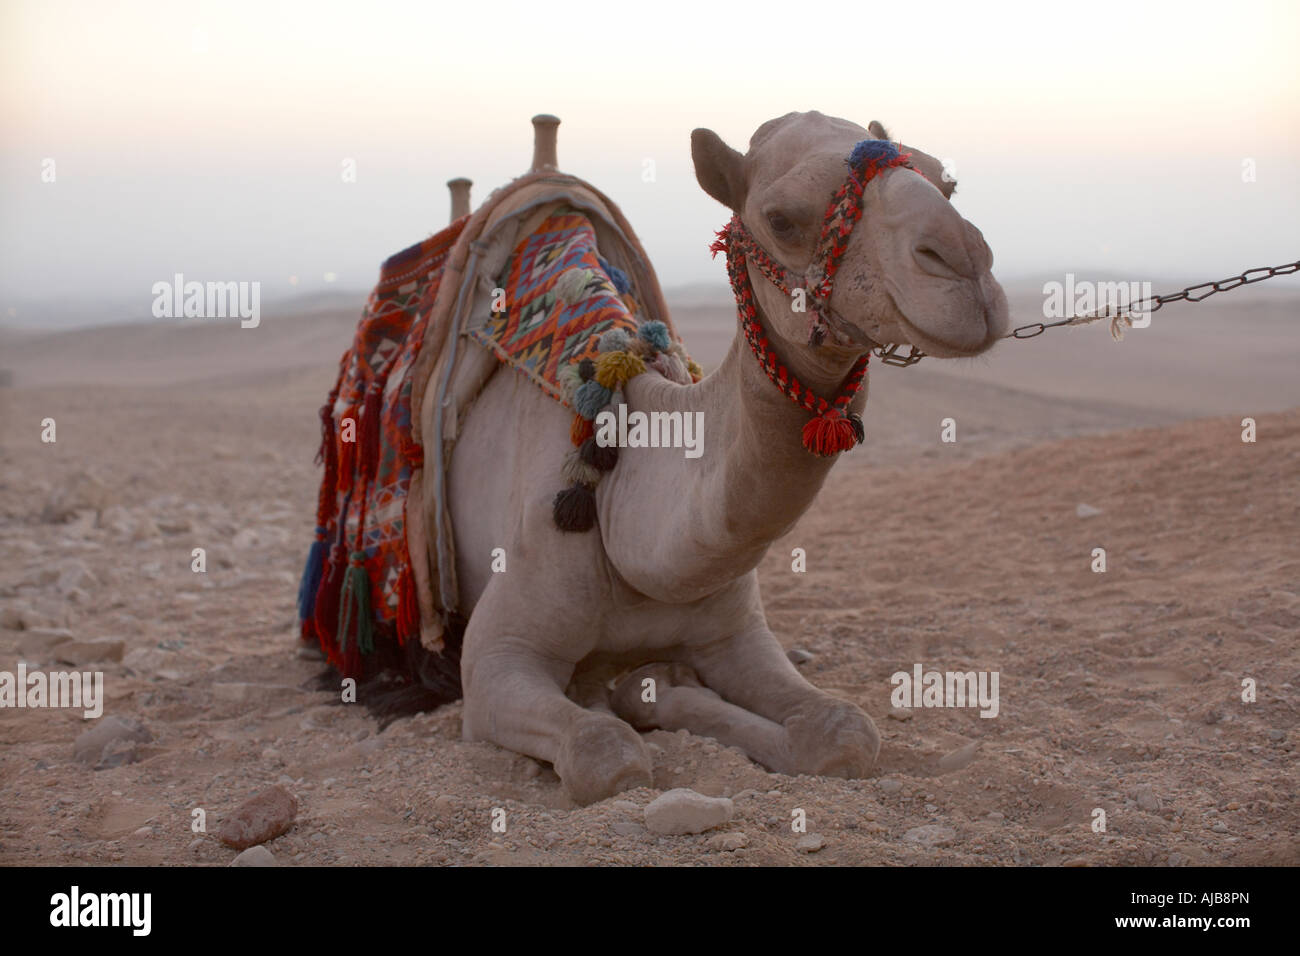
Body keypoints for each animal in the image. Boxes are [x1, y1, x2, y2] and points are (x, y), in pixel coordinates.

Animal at [429, 111, 1008, 804]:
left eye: (947, 183)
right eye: (781, 218)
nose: (966, 263)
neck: (621, 502)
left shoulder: (736, 635)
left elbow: (845, 731)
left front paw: (658, 689)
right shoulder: (496, 661)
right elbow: (604, 751)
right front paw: (626, 701)